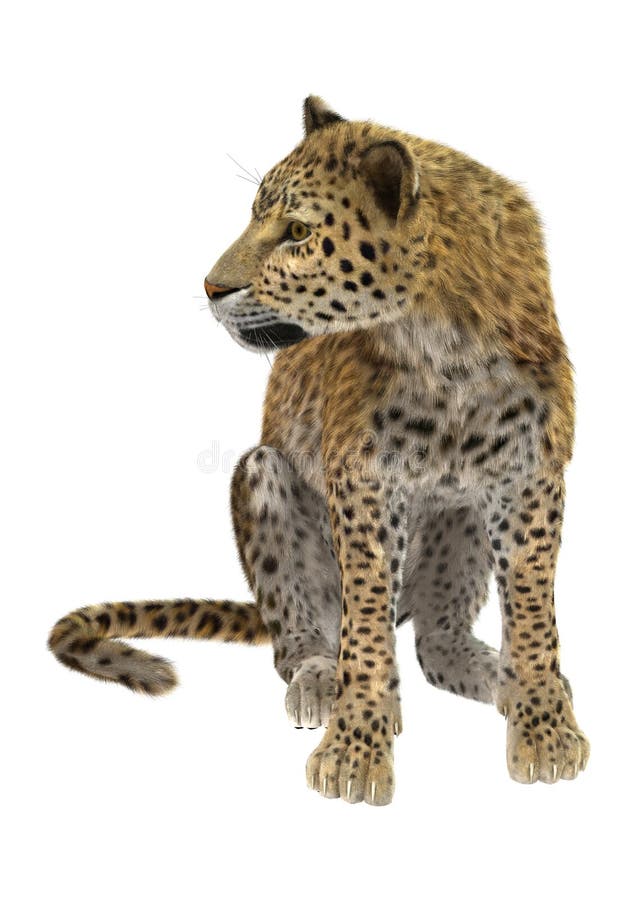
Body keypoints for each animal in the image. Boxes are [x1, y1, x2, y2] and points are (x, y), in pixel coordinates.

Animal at [48, 96, 590, 805]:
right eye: (255, 216)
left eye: (297, 233)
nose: (211, 286)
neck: (447, 348)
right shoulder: (362, 481)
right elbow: (366, 625)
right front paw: (356, 751)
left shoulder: (531, 476)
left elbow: (532, 612)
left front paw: (545, 729)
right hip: (263, 474)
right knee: (306, 635)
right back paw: (319, 682)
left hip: (460, 519)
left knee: (435, 641)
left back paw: (493, 674)